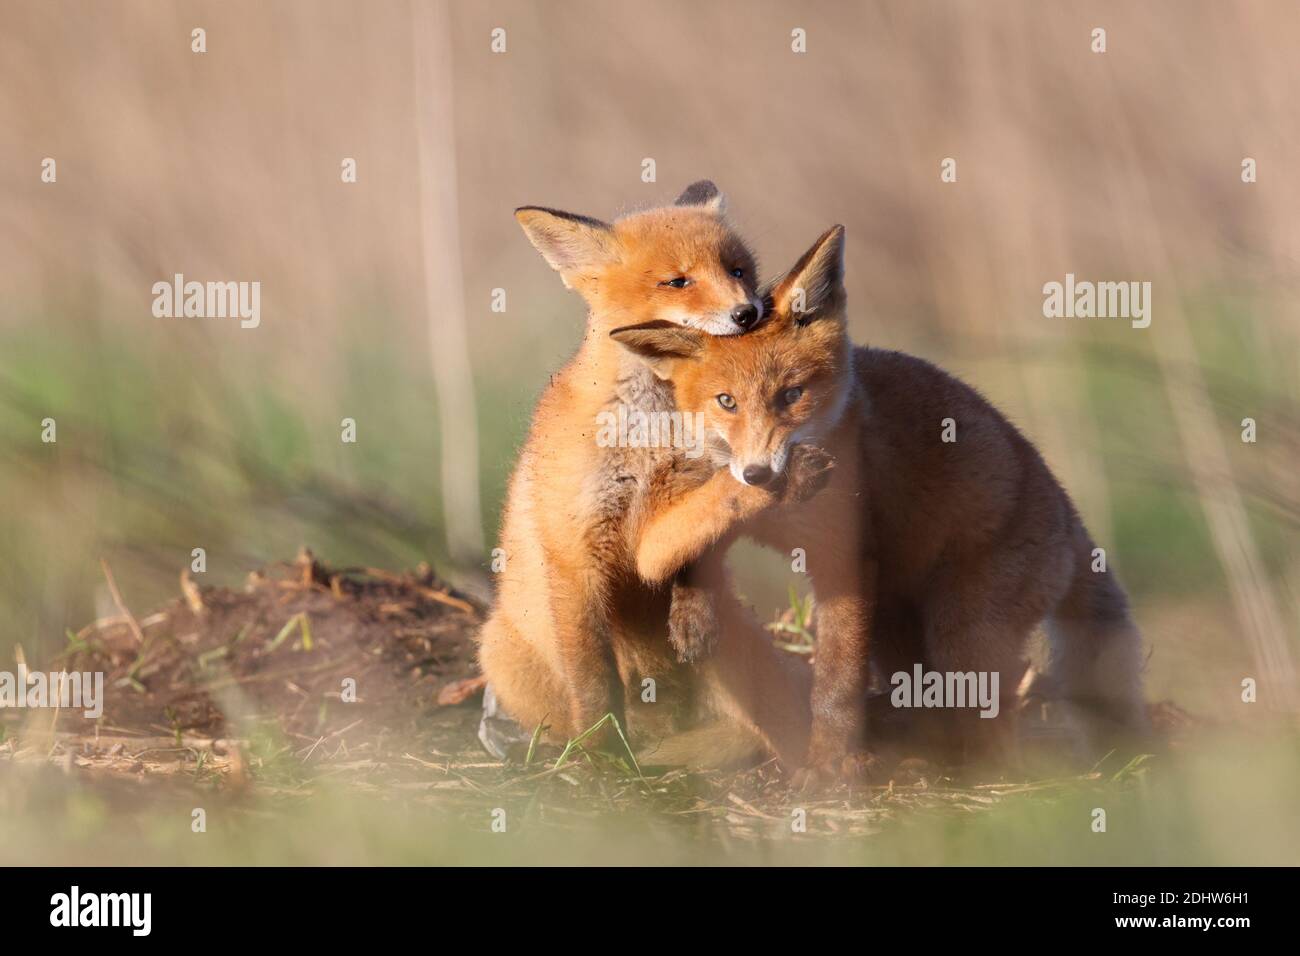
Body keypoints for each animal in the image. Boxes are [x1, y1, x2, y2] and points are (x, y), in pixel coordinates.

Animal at [476, 181, 816, 767]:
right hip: (500, 648)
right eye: (678, 281)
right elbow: (593, 680)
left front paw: (691, 611)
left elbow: (696, 549)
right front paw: (600, 760)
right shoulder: (576, 550)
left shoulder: (693, 495)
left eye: (738, 270)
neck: (654, 435)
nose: (748, 312)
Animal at [610, 224, 1150, 785]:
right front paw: (693, 613)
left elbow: (835, 685)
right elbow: (707, 532)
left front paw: (826, 768)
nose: (761, 473)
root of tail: (1063, 506)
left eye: (792, 395)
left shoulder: (844, 560)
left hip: (964, 634)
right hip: (898, 630)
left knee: (995, 732)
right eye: (726, 402)